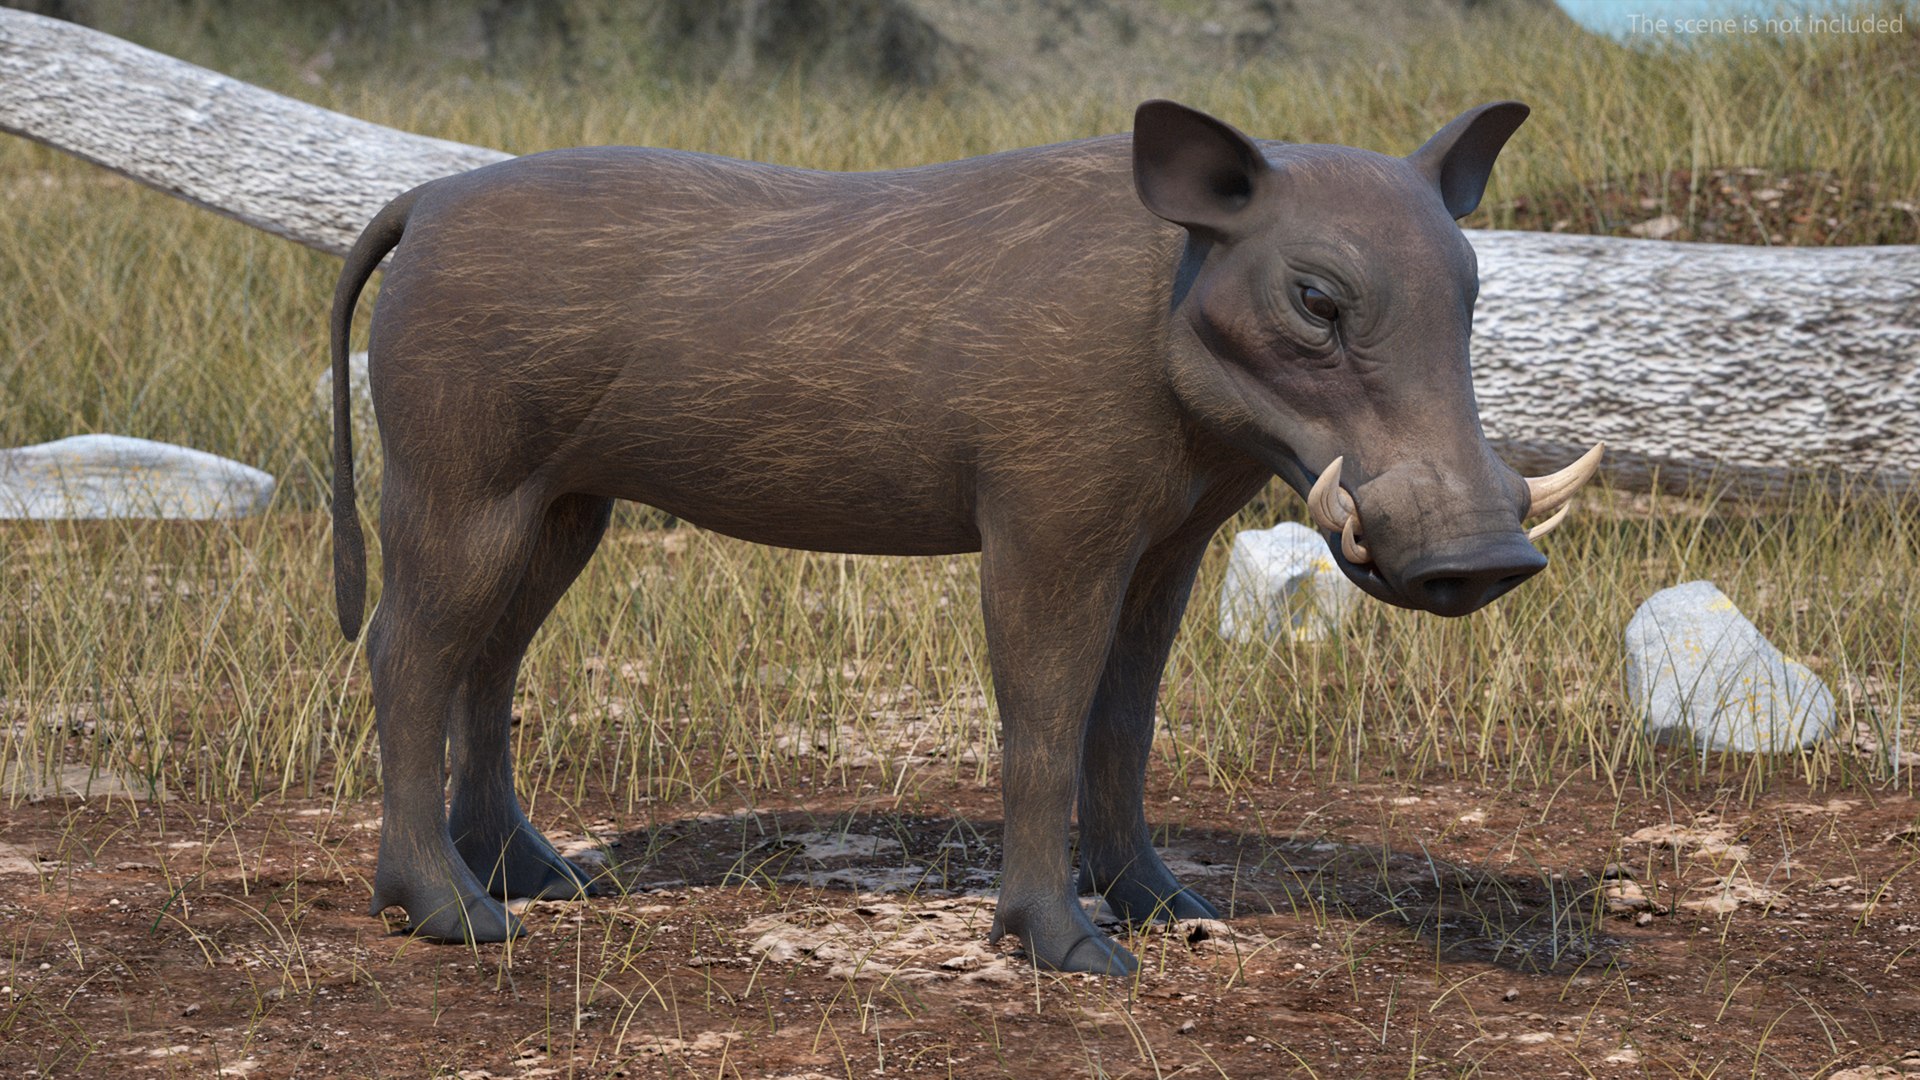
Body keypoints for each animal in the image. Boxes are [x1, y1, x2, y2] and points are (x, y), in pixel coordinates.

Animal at [329, 99, 1601, 975]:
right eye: (1318, 300)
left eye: (1471, 288)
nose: (1487, 560)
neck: (1169, 298)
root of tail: (423, 202)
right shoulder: (1047, 524)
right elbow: (1044, 716)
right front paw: (1073, 951)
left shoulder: (1167, 547)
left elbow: (1125, 723)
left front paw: (1173, 913)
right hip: (460, 484)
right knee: (407, 651)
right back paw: (452, 916)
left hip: (562, 507)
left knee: (489, 662)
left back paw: (544, 883)